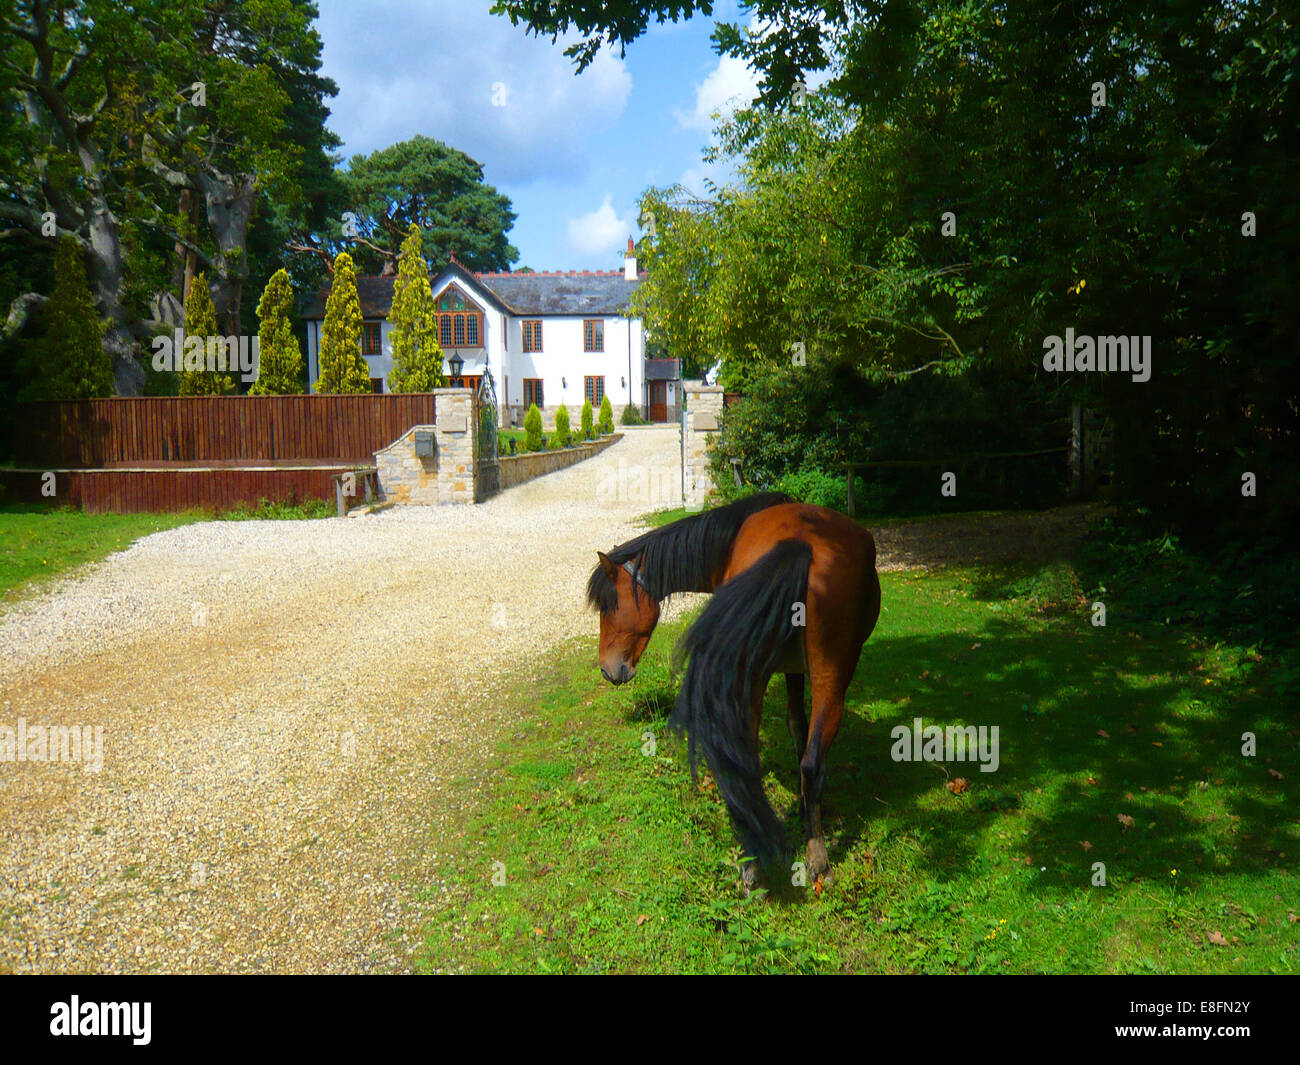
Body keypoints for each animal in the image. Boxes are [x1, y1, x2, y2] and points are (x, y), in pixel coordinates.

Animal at [587, 492, 882, 888]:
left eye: (608, 606)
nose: (608, 669)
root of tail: (802, 544)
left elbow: (797, 730)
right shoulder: (792, 671)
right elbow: (798, 730)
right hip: (824, 679)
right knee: (805, 763)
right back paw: (807, 859)